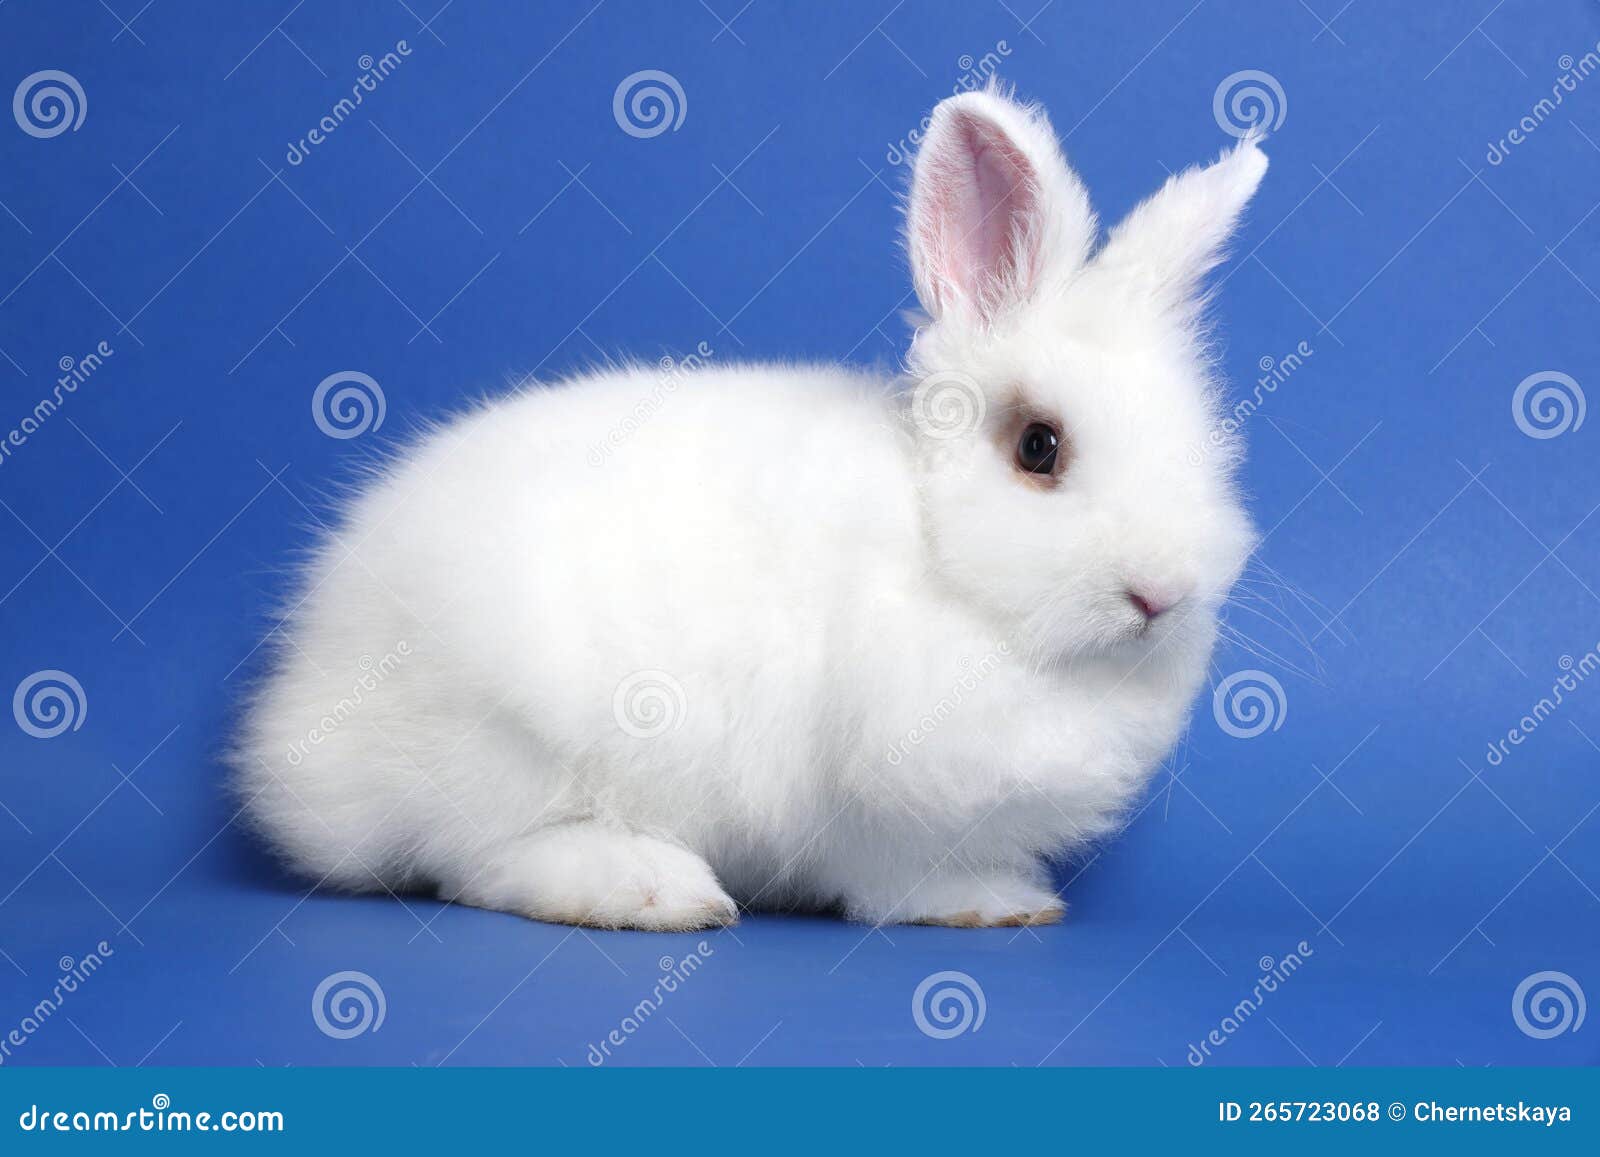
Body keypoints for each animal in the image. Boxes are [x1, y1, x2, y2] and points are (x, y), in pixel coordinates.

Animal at [229, 83, 1266, 931]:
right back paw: (656, 889)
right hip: (502, 738)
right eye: (1038, 448)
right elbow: (899, 876)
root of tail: (298, 710)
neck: (945, 565)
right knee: (476, 860)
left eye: (1205, 450)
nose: (1163, 594)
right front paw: (991, 902)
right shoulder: (886, 789)